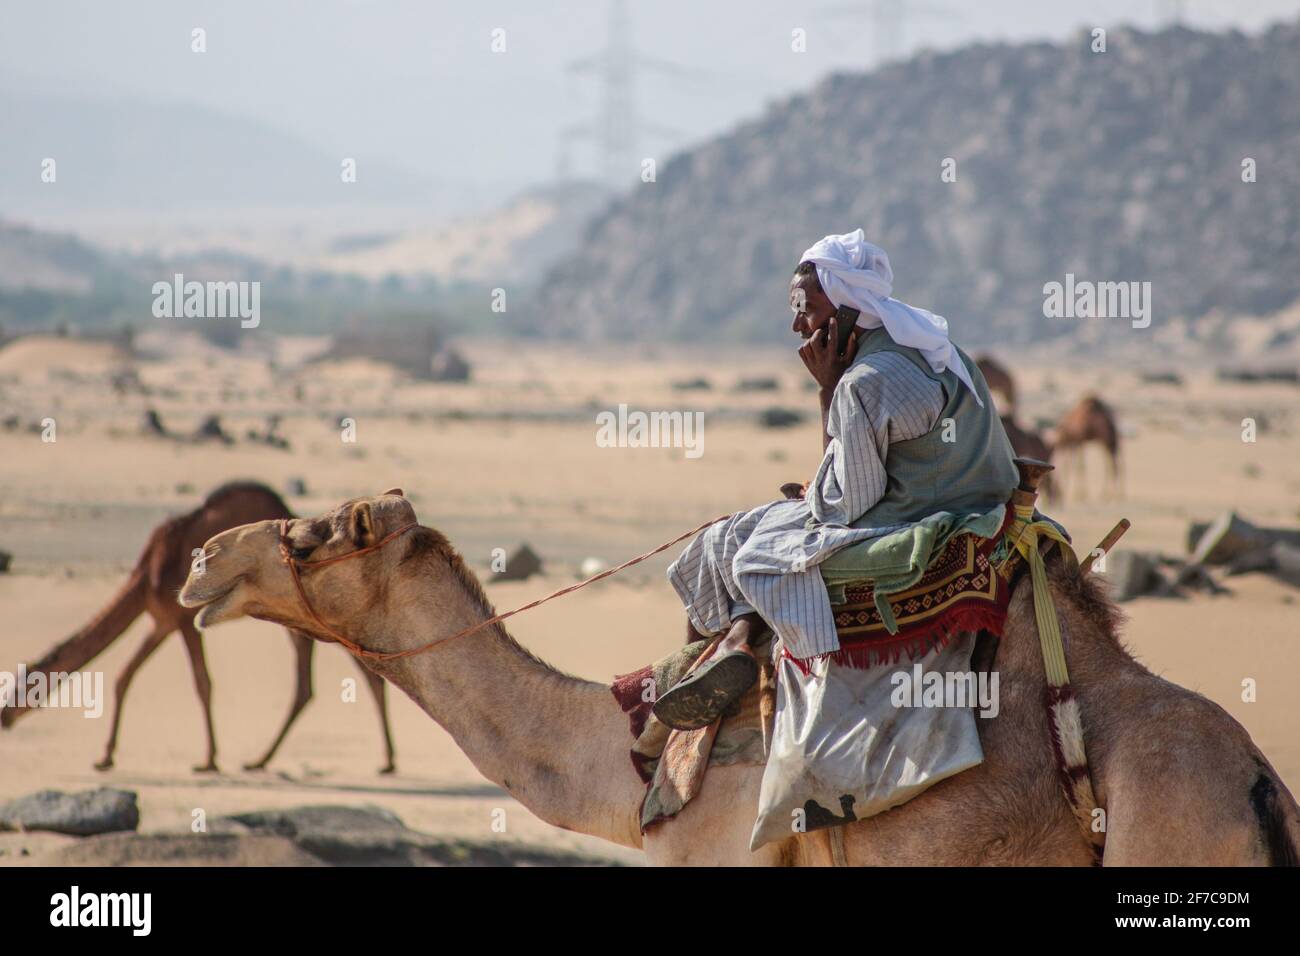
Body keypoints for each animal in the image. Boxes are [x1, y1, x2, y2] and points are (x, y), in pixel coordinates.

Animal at [1, 482, 396, 774]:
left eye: (22, 688)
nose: (3, 717)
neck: (145, 577)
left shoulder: (180, 618)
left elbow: (202, 683)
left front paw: (208, 760)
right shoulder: (161, 621)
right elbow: (125, 676)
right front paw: (105, 757)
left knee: (343, 678)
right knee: (316, 683)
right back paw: (264, 760)